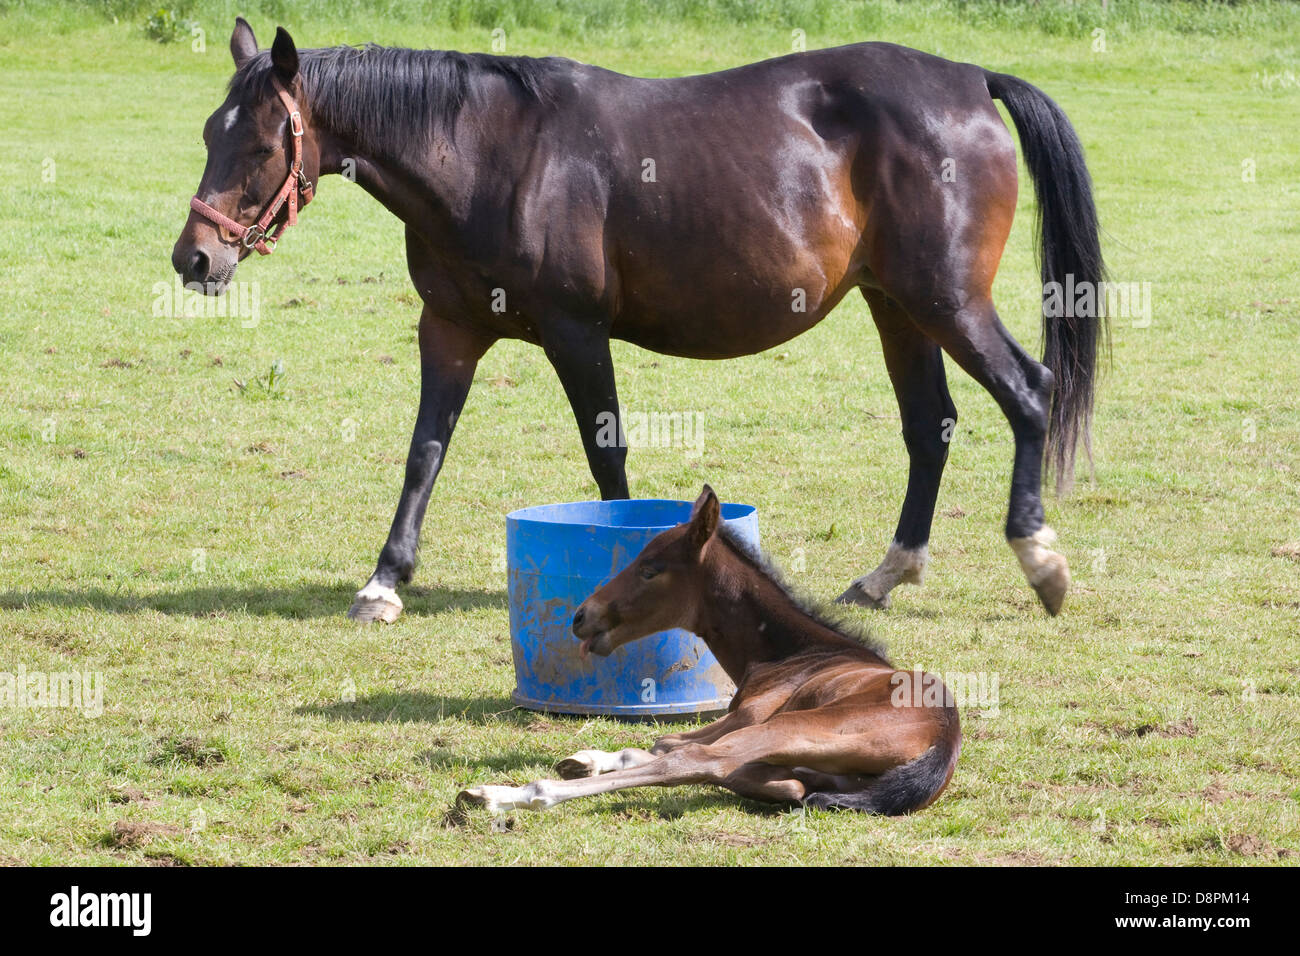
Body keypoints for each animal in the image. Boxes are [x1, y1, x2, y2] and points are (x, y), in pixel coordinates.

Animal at [172, 19, 1105, 622]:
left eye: (261, 145)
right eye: (212, 133)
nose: (195, 259)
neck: (492, 155)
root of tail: (971, 81)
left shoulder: (576, 332)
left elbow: (607, 452)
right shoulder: (450, 331)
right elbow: (424, 451)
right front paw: (384, 580)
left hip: (946, 300)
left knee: (1031, 392)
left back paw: (1040, 560)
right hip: (899, 304)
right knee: (930, 426)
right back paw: (887, 575)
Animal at [456, 485, 961, 815]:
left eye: (650, 569)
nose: (581, 616)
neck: (793, 652)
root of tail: (943, 741)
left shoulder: (750, 715)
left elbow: (671, 747)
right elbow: (661, 742)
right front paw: (588, 759)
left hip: (786, 728)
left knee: (701, 763)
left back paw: (503, 796)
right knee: (778, 783)